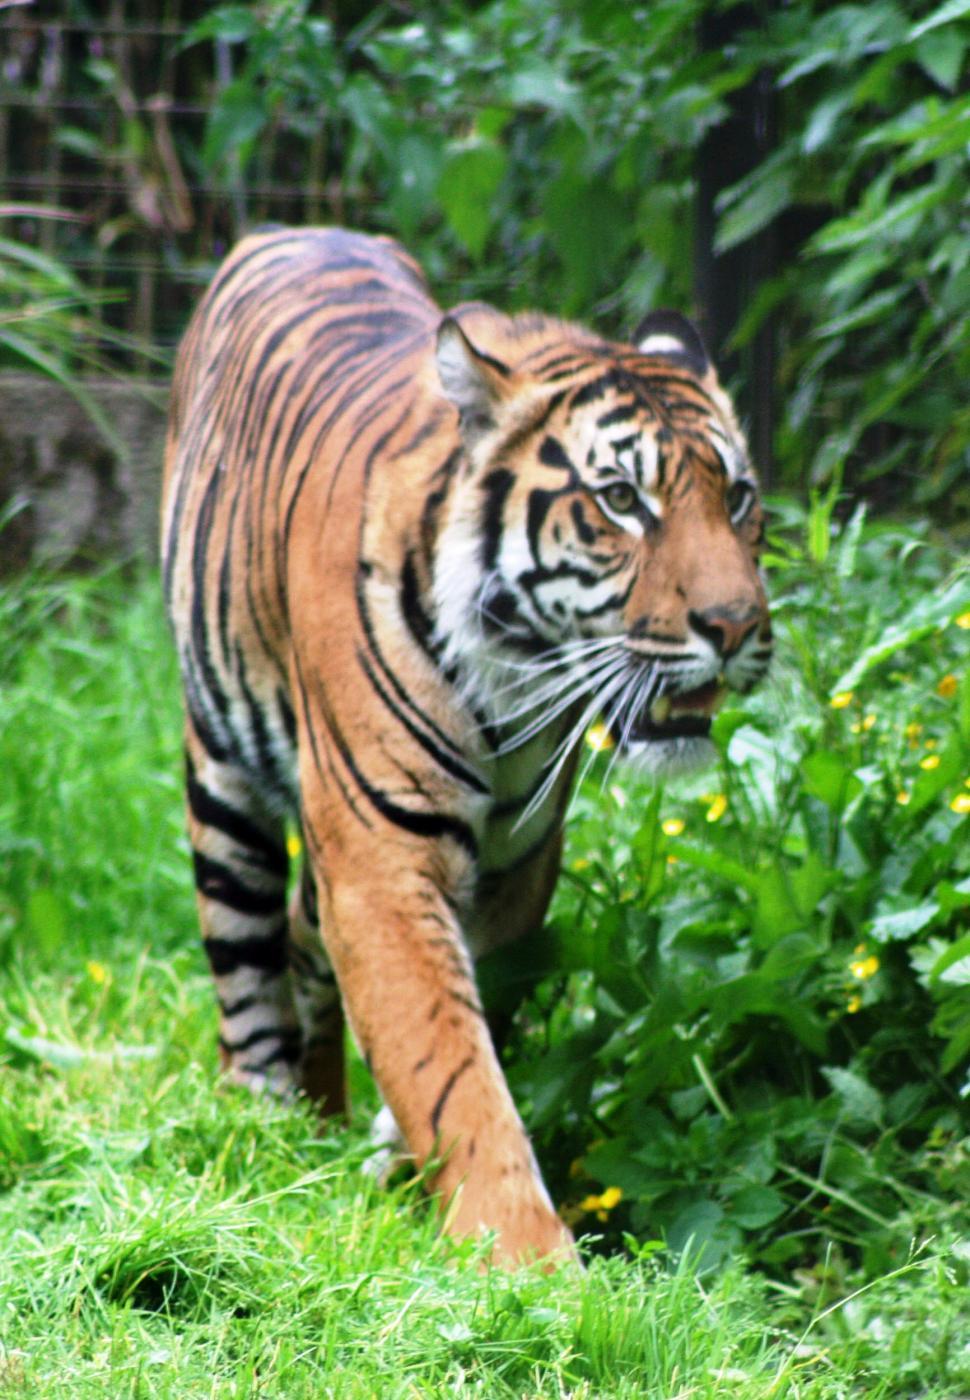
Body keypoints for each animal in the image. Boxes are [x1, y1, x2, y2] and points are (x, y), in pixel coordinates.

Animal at [160, 225, 772, 1268]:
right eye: (621, 499)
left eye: (736, 497)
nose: (733, 627)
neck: (519, 679)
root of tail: (293, 228)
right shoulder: (383, 861)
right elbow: (448, 1062)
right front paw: (529, 1259)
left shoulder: (515, 866)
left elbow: (451, 1024)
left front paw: (395, 1168)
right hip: (223, 775)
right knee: (246, 966)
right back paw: (261, 1130)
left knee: (303, 936)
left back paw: (321, 1123)